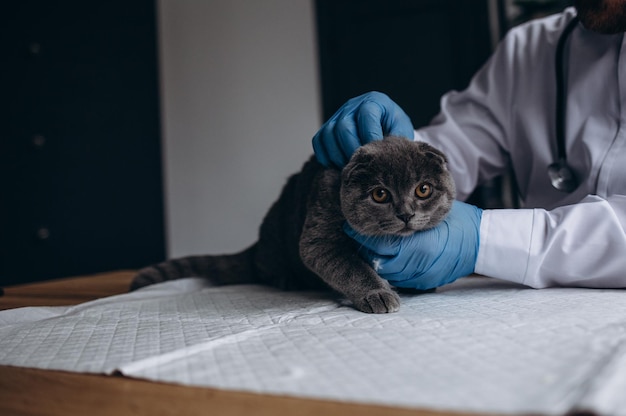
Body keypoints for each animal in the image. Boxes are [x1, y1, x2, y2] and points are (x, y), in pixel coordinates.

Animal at [130, 136, 454, 312]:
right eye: (380, 194)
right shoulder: (319, 234)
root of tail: (257, 245)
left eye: (423, 189)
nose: (406, 214)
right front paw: (377, 293)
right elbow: (350, 267)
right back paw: (286, 280)